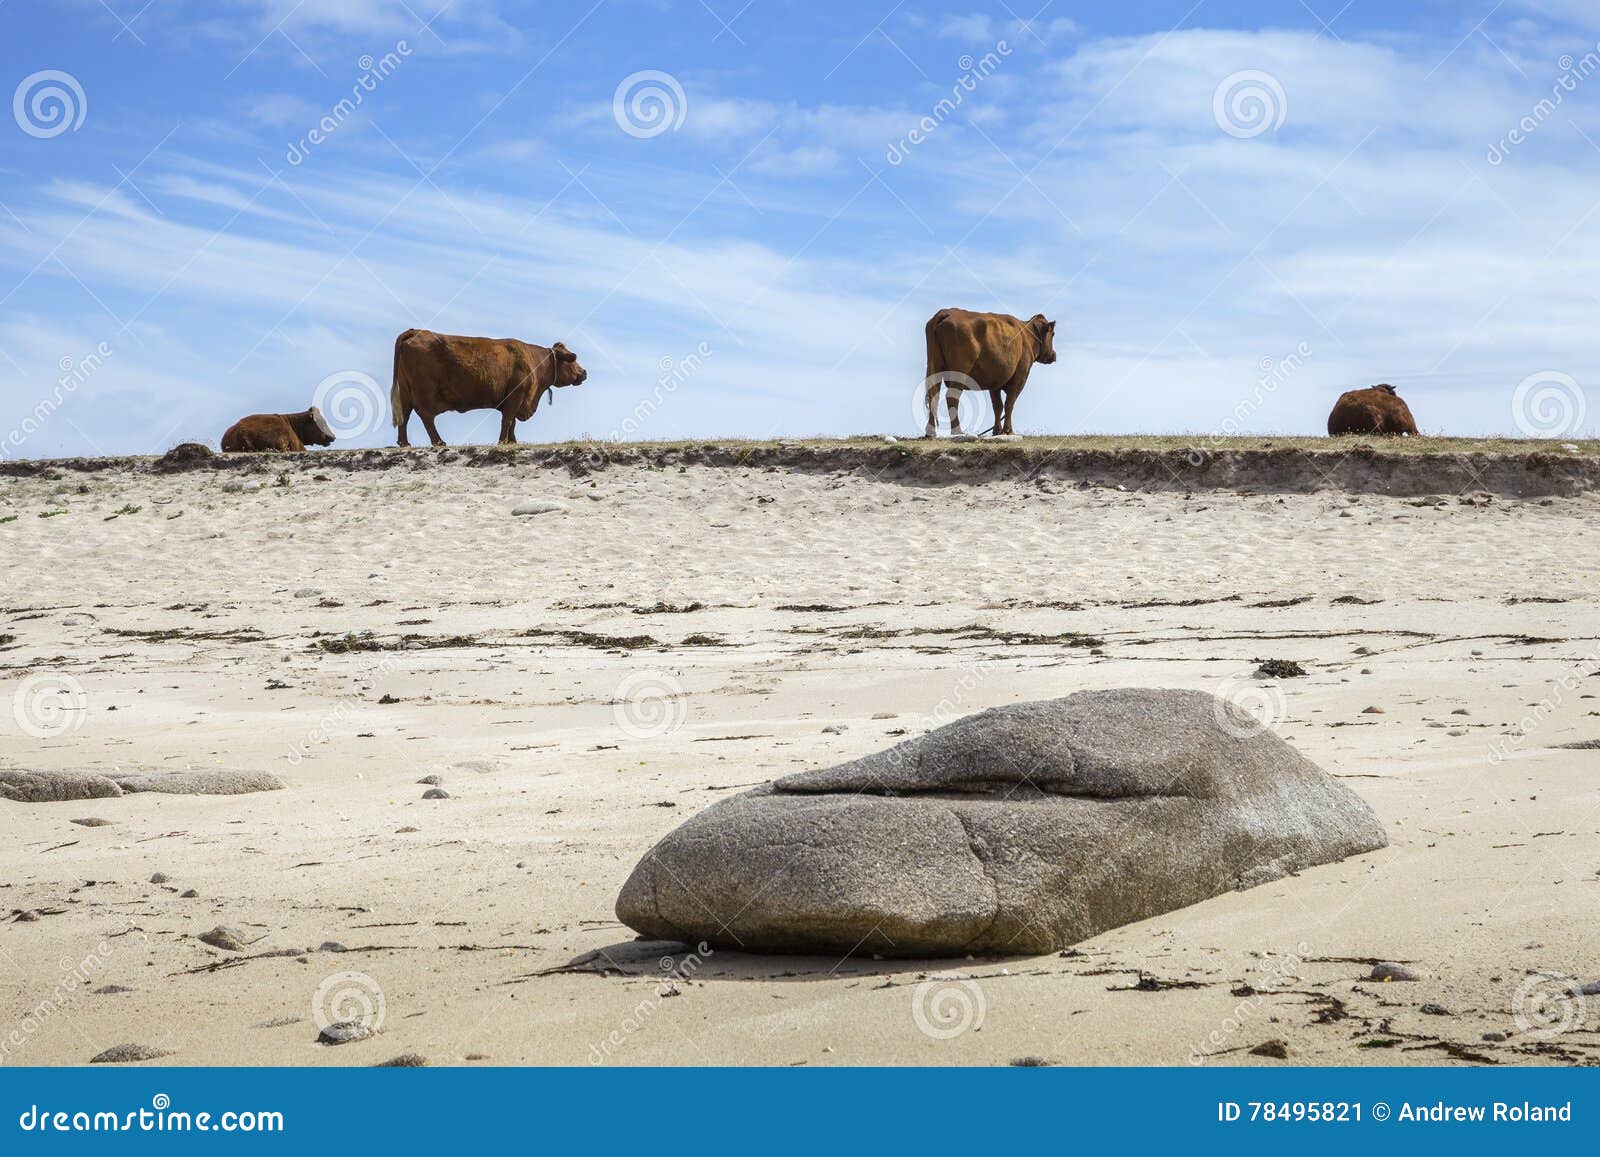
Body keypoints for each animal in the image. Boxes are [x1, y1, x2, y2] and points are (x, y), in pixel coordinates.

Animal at [391, 328, 588, 447]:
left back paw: (404, 443)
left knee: (404, 415)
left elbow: (512, 422)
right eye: (572, 361)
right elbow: (508, 421)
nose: (584, 372)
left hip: (406, 391)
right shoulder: (516, 395)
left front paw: (512, 442)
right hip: (425, 392)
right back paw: (439, 442)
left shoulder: (512, 400)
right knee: (426, 416)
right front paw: (502, 442)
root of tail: (417, 331)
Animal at [923, 308, 1057, 438]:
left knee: (933, 395)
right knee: (952, 396)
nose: (1053, 355)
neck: (1028, 336)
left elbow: (997, 406)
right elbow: (1009, 404)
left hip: (935, 368)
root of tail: (946, 312)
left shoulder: (995, 382)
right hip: (959, 372)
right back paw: (958, 431)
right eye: (1053, 334)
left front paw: (997, 431)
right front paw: (1008, 431)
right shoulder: (1019, 377)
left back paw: (930, 433)